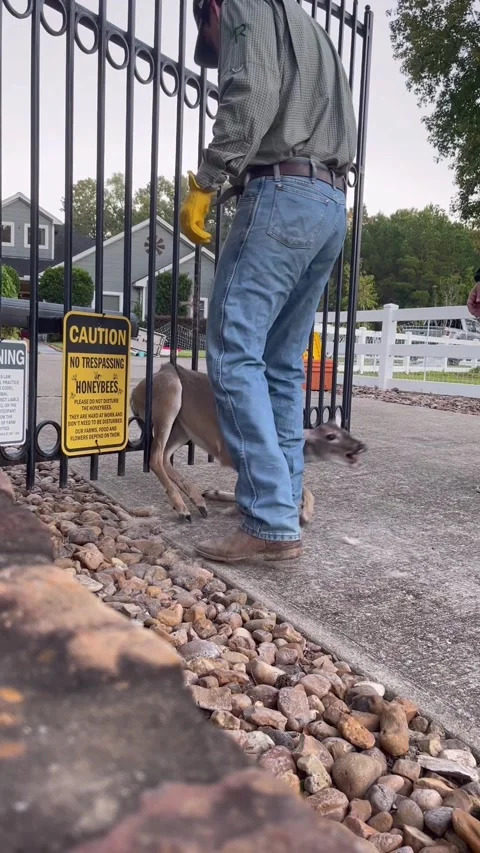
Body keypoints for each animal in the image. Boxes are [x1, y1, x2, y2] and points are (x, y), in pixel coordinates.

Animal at [130, 362, 366, 524]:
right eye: (330, 436)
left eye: (345, 431)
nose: (360, 446)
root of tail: (134, 394)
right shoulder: (231, 453)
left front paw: (306, 512)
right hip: (168, 398)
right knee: (155, 456)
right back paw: (184, 508)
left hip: (182, 429)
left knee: (163, 457)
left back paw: (198, 502)